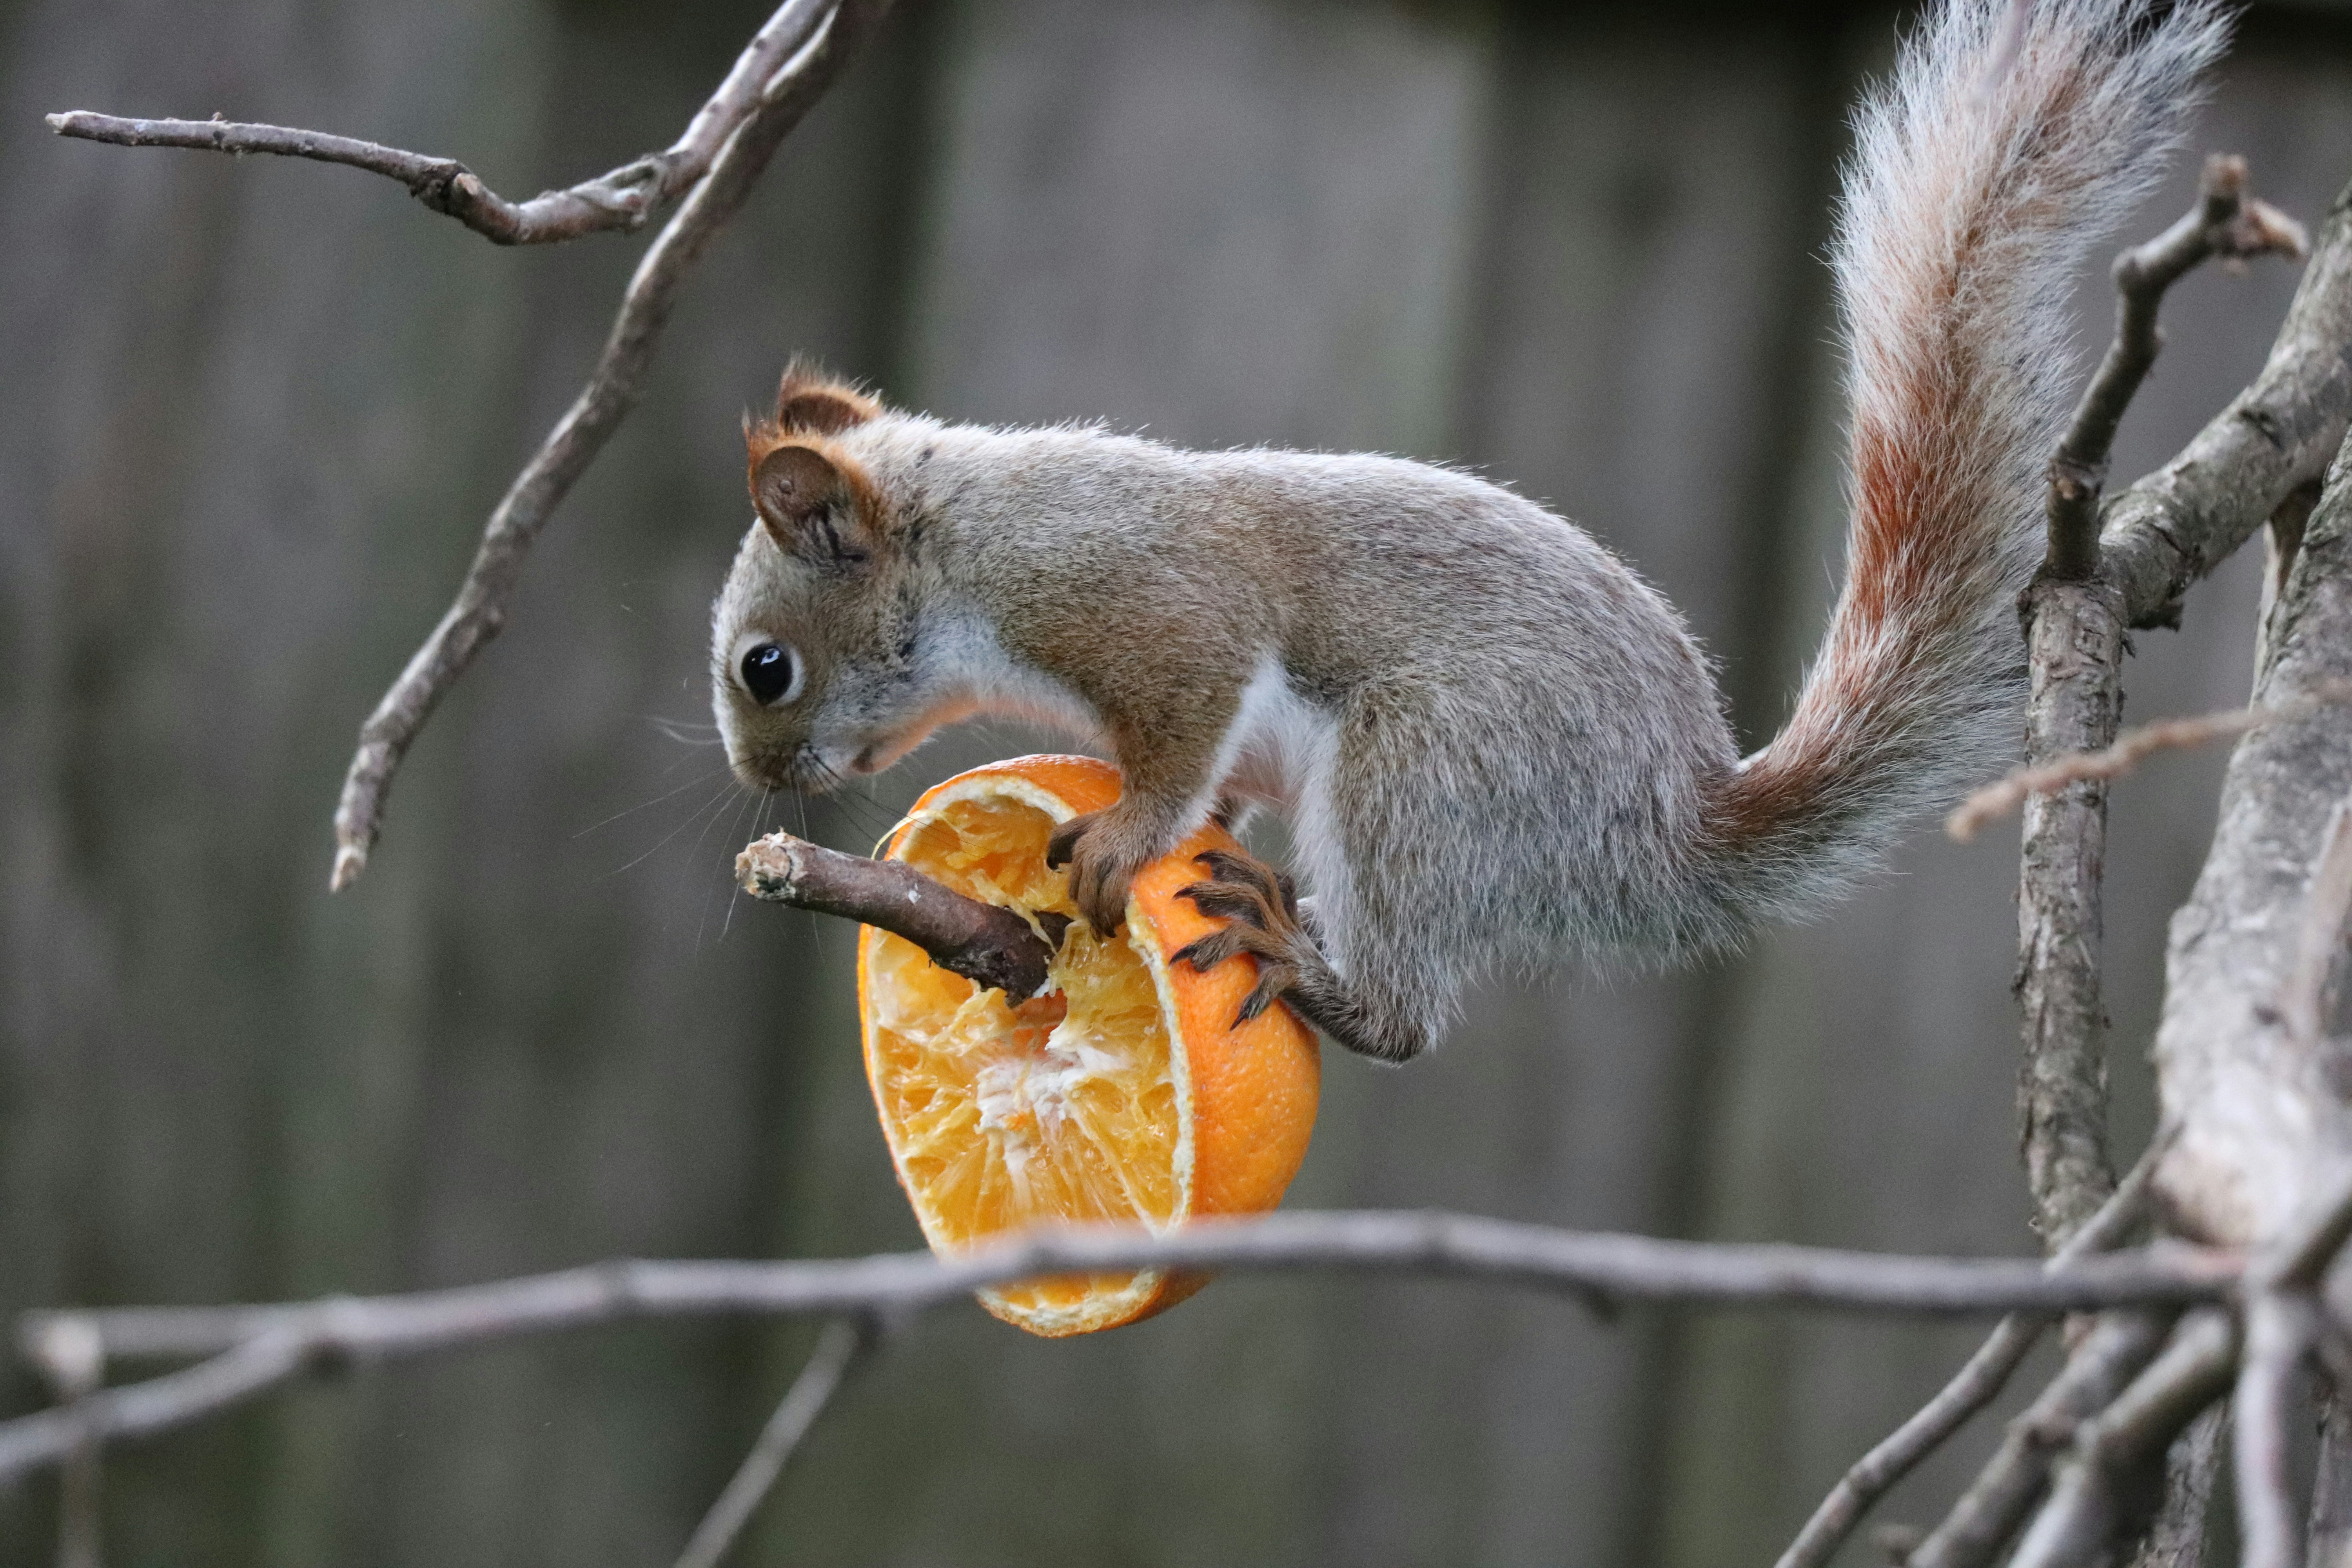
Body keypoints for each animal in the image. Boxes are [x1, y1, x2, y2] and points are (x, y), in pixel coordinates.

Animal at [709, 0, 2227, 1065]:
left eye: (763, 668)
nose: (764, 785)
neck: (965, 540)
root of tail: (1661, 832)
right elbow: (1223, 787)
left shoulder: (1134, 597)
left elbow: (1185, 724)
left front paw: (1127, 837)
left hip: (1429, 775)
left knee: (1406, 1015)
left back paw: (1310, 965)